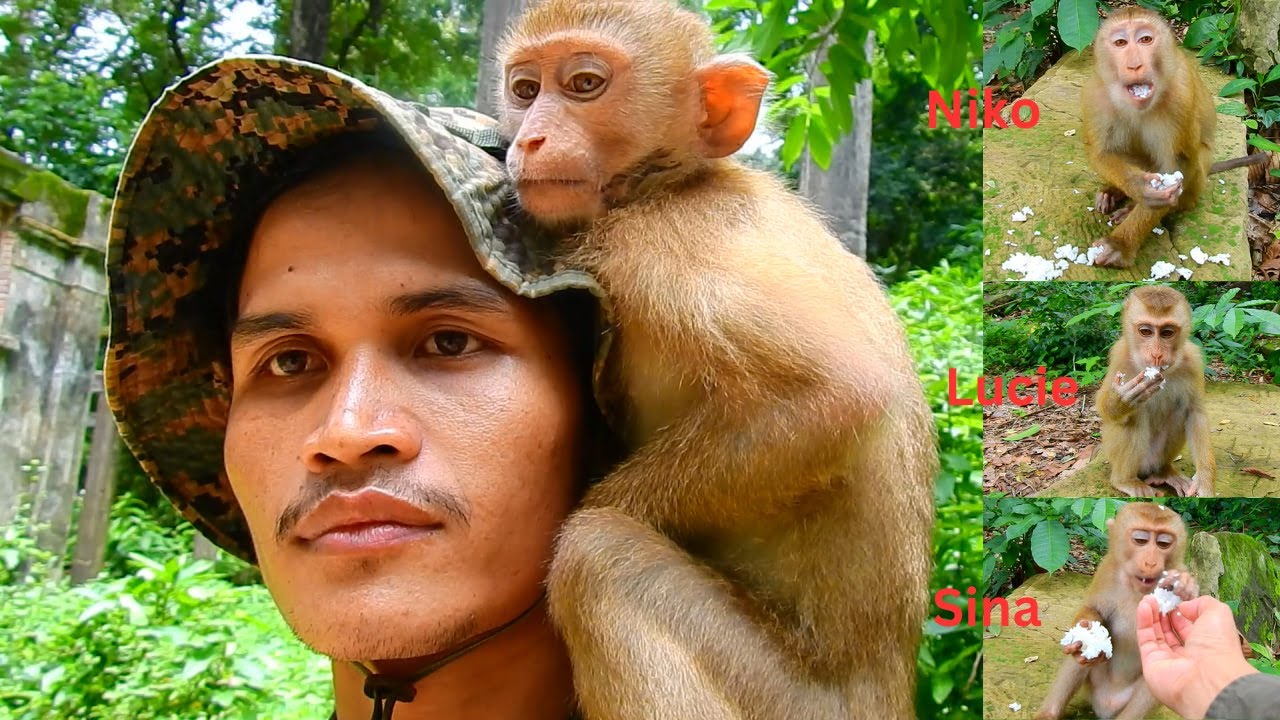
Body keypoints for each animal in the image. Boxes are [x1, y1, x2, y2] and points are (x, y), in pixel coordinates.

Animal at [496, 1, 936, 718]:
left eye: (584, 84)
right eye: (525, 90)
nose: (527, 139)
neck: (674, 181)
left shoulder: (660, 242)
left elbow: (845, 391)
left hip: (789, 699)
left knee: (598, 556)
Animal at [1036, 502, 1198, 720]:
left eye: (1163, 543)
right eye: (1140, 540)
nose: (1150, 562)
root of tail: (1105, 707)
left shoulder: (1180, 570)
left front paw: (1187, 589)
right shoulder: (1107, 570)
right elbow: (1092, 609)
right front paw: (1086, 631)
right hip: (1092, 687)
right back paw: (1049, 712)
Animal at [1082, 7, 1220, 268]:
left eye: (1145, 39)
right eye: (1120, 43)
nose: (1134, 65)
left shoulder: (1181, 96)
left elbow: (1180, 164)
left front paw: (1120, 244)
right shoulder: (1097, 94)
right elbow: (1102, 153)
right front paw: (1142, 189)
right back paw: (1114, 192)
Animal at [1095, 285, 1216, 498]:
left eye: (1167, 332)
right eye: (1146, 331)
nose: (1157, 354)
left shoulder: (1193, 360)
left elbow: (1195, 413)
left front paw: (1205, 480)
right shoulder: (1119, 355)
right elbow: (1103, 407)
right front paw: (1122, 400)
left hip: (1155, 457)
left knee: (1180, 410)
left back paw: (1164, 472)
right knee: (1135, 415)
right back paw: (1124, 480)